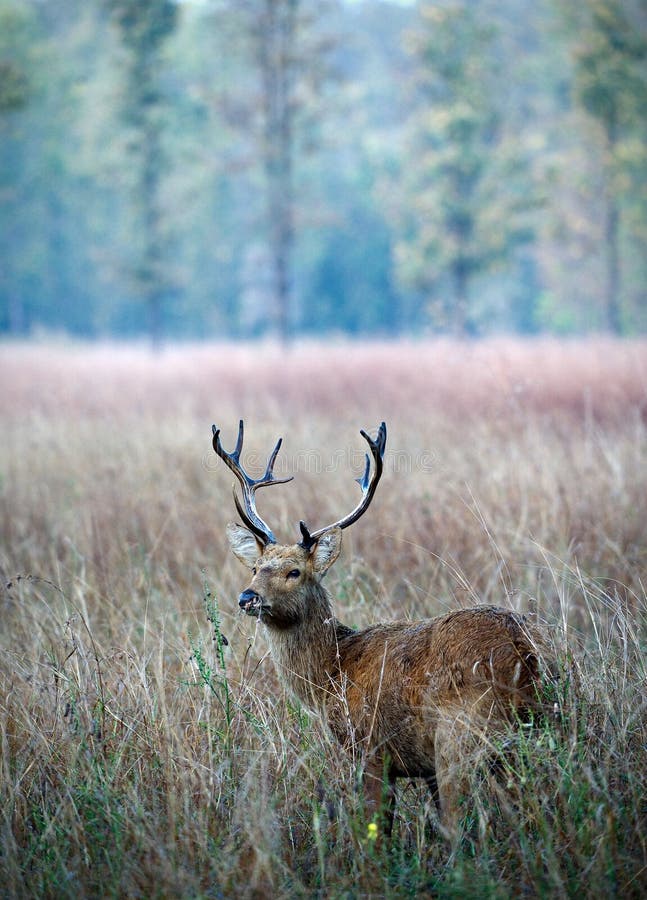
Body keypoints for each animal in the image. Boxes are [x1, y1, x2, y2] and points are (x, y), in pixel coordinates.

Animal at [212, 420, 550, 839]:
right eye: (256, 568)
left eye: (295, 571)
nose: (248, 597)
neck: (332, 672)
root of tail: (523, 655)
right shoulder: (419, 767)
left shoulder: (372, 749)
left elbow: (377, 832)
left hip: (459, 735)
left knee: (461, 821)